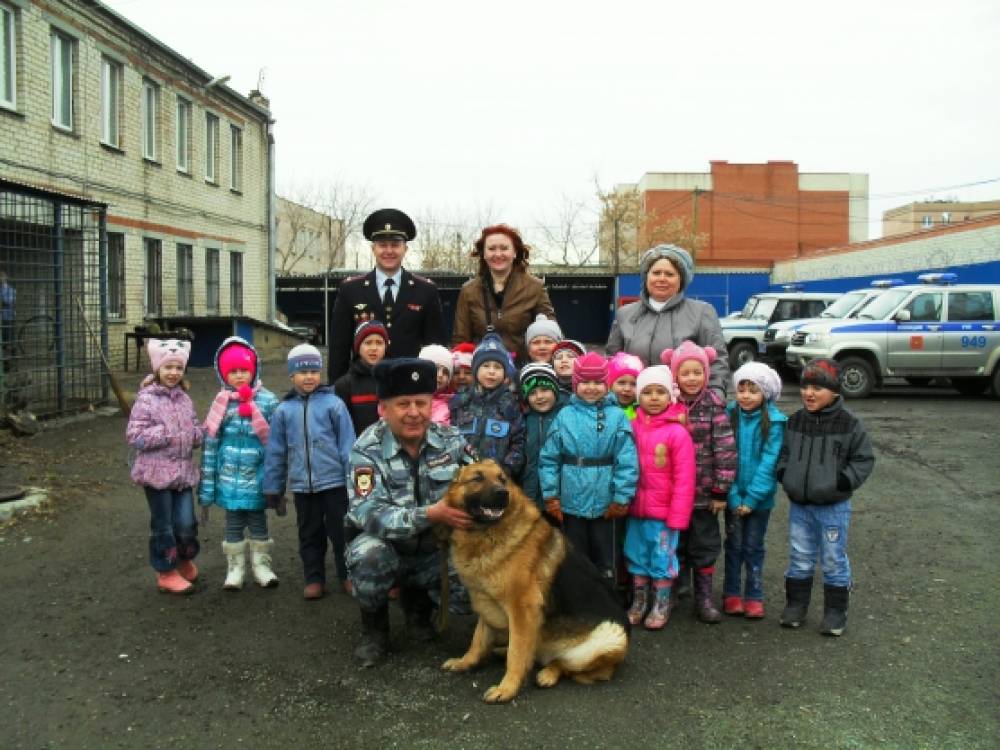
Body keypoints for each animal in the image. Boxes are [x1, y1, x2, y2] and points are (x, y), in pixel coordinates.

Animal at [442, 462, 628, 704]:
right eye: (477, 478)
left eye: (502, 479)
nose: (503, 493)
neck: (487, 534)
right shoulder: (486, 603)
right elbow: (478, 640)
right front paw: (465, 662)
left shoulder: (522, 608)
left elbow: (516, 654)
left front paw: (507, 688)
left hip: (611, 636)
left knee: (564, 665)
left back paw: (547, 673)